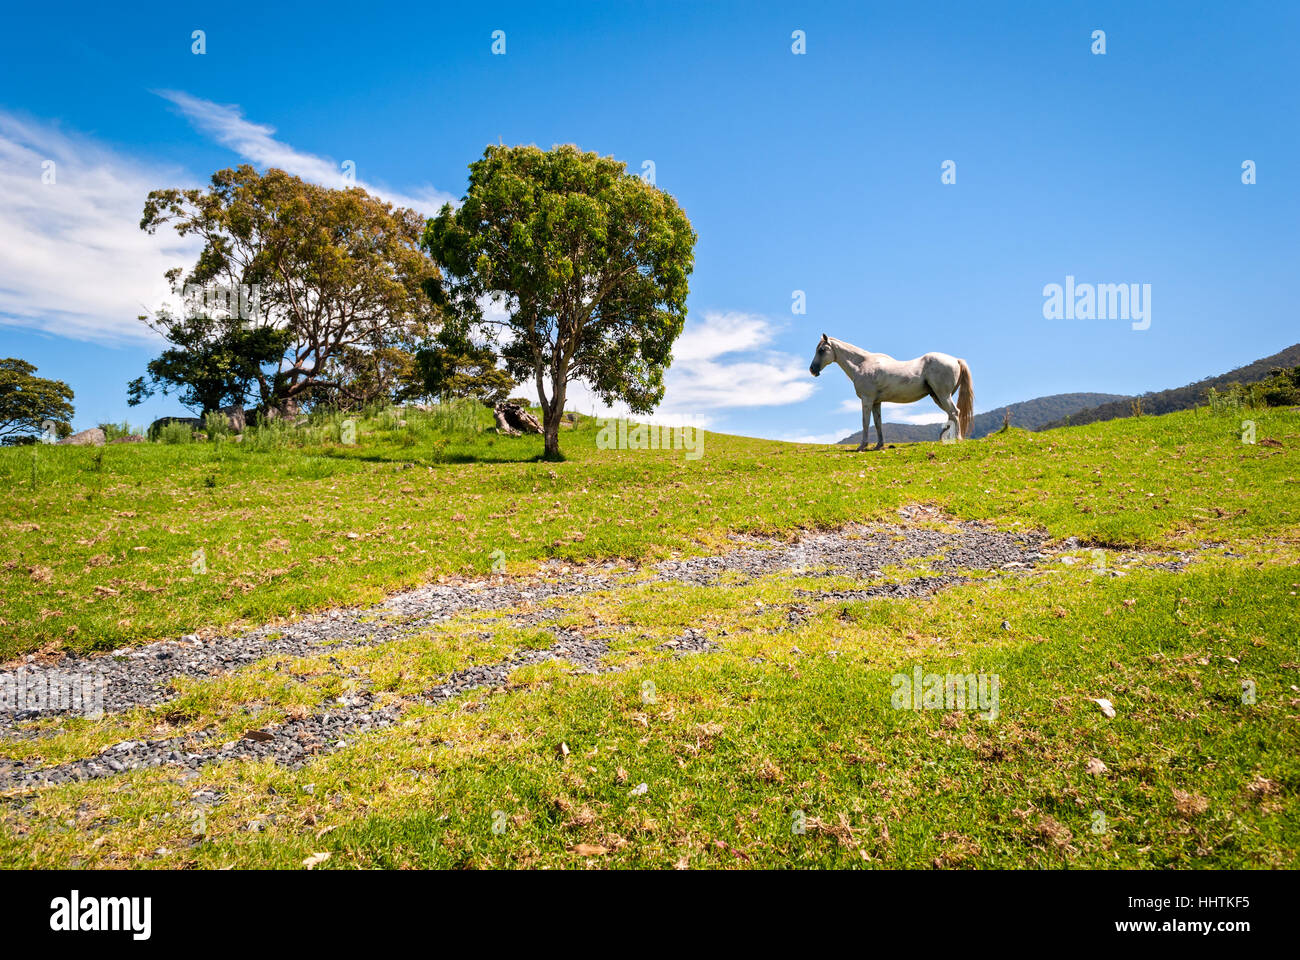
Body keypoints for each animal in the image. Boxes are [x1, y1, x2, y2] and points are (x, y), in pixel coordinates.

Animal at [809, 334, 974, 450]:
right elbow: (878, 423)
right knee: (951, 414)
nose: (812, 370)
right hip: (937, 396)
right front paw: (879, 445)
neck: (862, 364)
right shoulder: (876, 402)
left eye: (821, 350)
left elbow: (865, 422)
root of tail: (956, 360)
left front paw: (862, 446)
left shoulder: (867, 400)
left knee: (955, 412)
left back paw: (958, 438)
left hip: (943, 395)